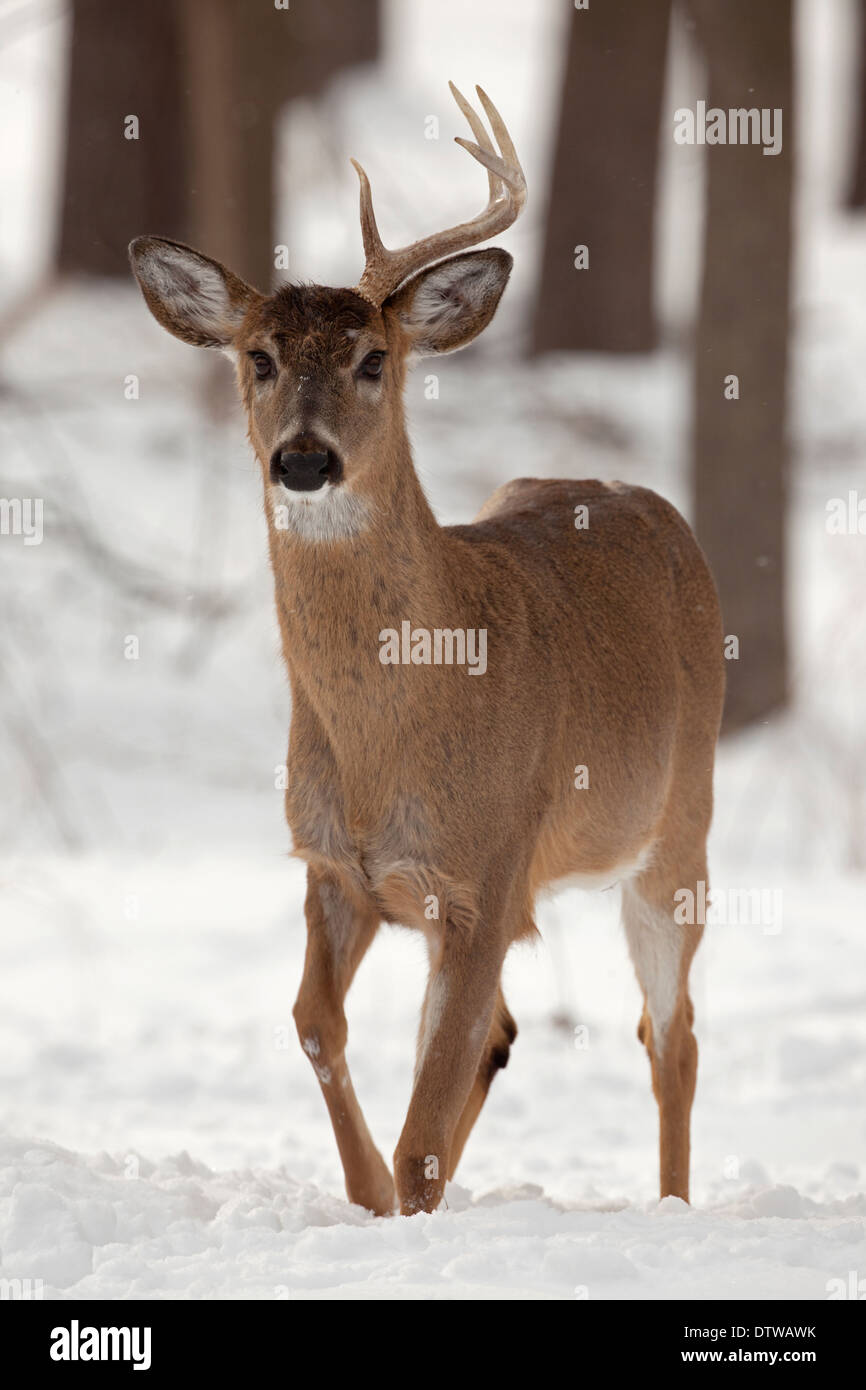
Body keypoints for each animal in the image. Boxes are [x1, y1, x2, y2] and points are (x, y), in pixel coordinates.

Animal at [130, 83, 725, 1217]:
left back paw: (674, 1206)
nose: (303, 460)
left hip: (676, 830)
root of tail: (655, 505)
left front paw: (396, 1200)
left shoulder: (488, 876)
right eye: (258, 358)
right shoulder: (333, 866)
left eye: (374, 359)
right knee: (502, 1033)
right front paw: (369, 1199)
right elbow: (316, 1026)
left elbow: (422, 1117)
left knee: (669, 1037)